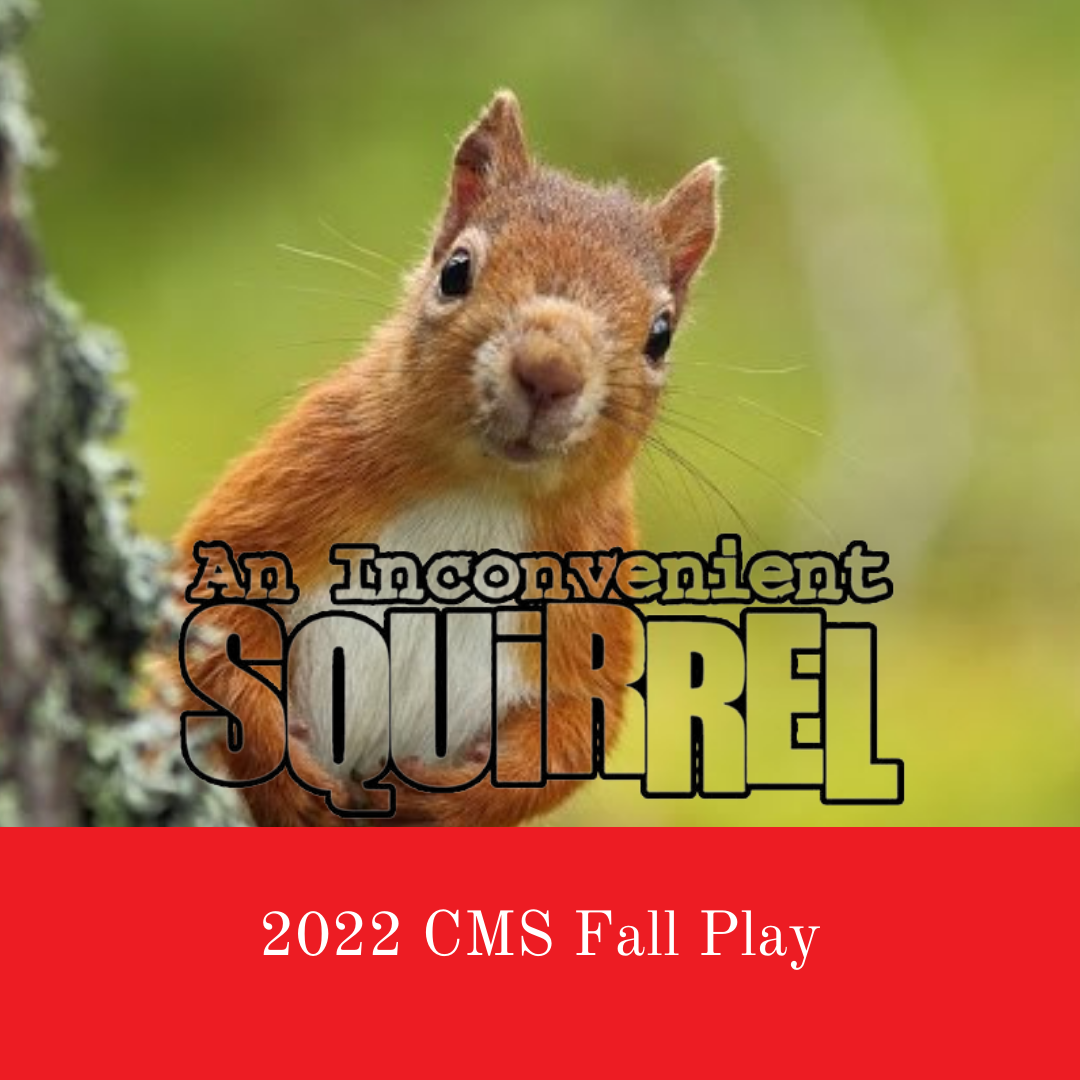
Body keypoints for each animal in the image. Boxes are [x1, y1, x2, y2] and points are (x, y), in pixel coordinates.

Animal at [171, 90, 720, 826]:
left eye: (661, 334)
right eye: (455, 270)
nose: (549, 370)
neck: (481, 489)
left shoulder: (590, 591)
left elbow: (577, 727)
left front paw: (443, 797)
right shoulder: (298, 476)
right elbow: (212, 615)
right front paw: (288, 771)